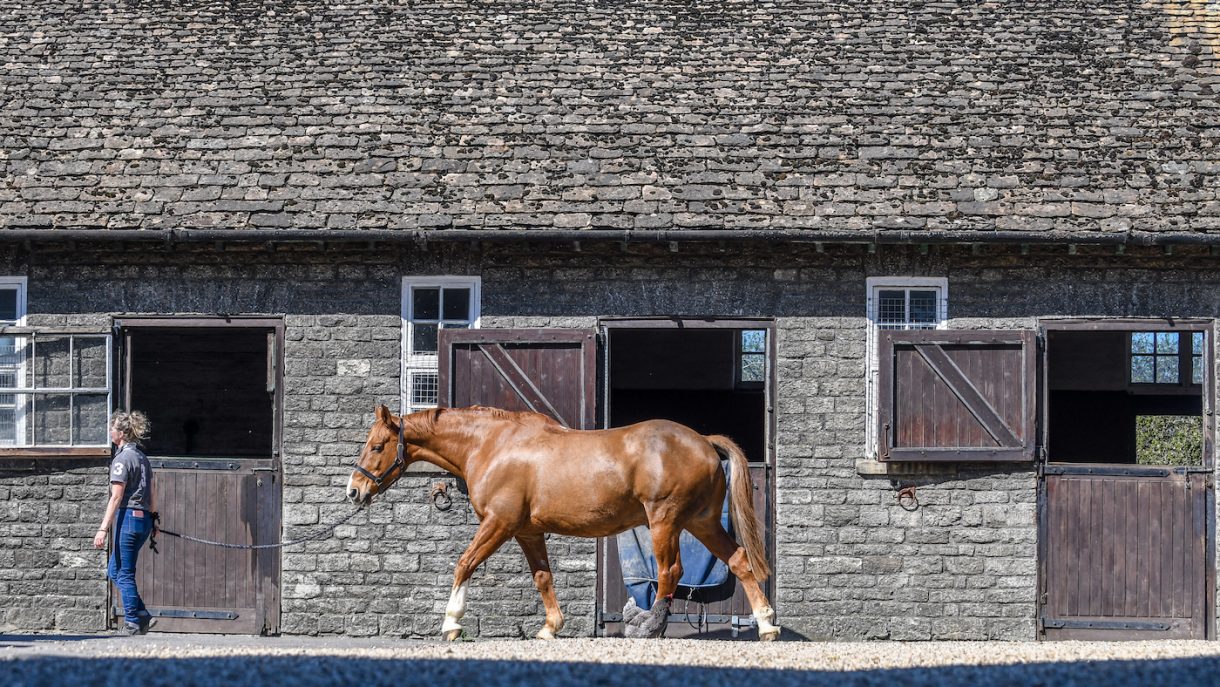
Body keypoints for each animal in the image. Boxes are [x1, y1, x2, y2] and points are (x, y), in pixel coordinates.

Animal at [347, 404, 780, 641]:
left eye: (377, 446)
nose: (354, 491)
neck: (492, 445)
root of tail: (703, 441)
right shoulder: (527, 531)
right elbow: (543, 577)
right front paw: (551, 627)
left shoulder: (498, 524)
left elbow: (464, 564)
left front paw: (451, 623)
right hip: (702, 522)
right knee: (739, 561)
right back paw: (766, 625)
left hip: (665, 521)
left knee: (670, 571)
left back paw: (649, 626)